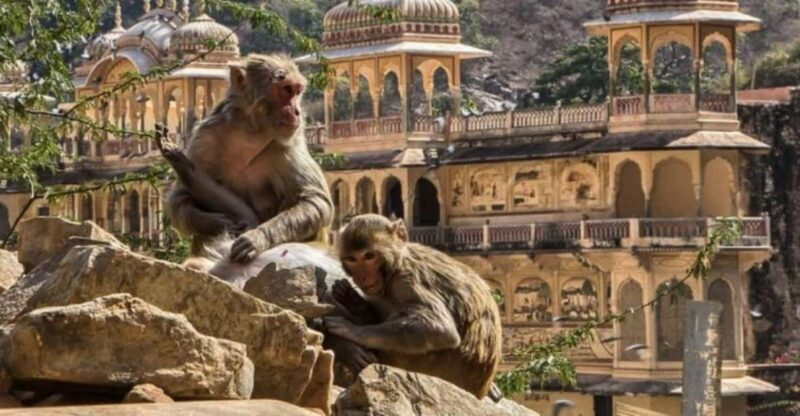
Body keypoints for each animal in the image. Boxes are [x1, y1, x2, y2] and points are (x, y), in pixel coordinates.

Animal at [165, 54, 333, 268]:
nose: (297, 112)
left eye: (297, 91)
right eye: (286, 89)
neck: (250, 133)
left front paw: (256, 238)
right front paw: (223, 223)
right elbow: (182, 197)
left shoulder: (288, 144)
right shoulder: (205, 137)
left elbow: (315, 200)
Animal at [322, 214, 503, 399]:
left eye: (369, 256)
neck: (395, 264)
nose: (363, 276)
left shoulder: (405, 281)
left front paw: (351, 330)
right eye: (352, 259)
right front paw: (353, 302)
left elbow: (440, 328)